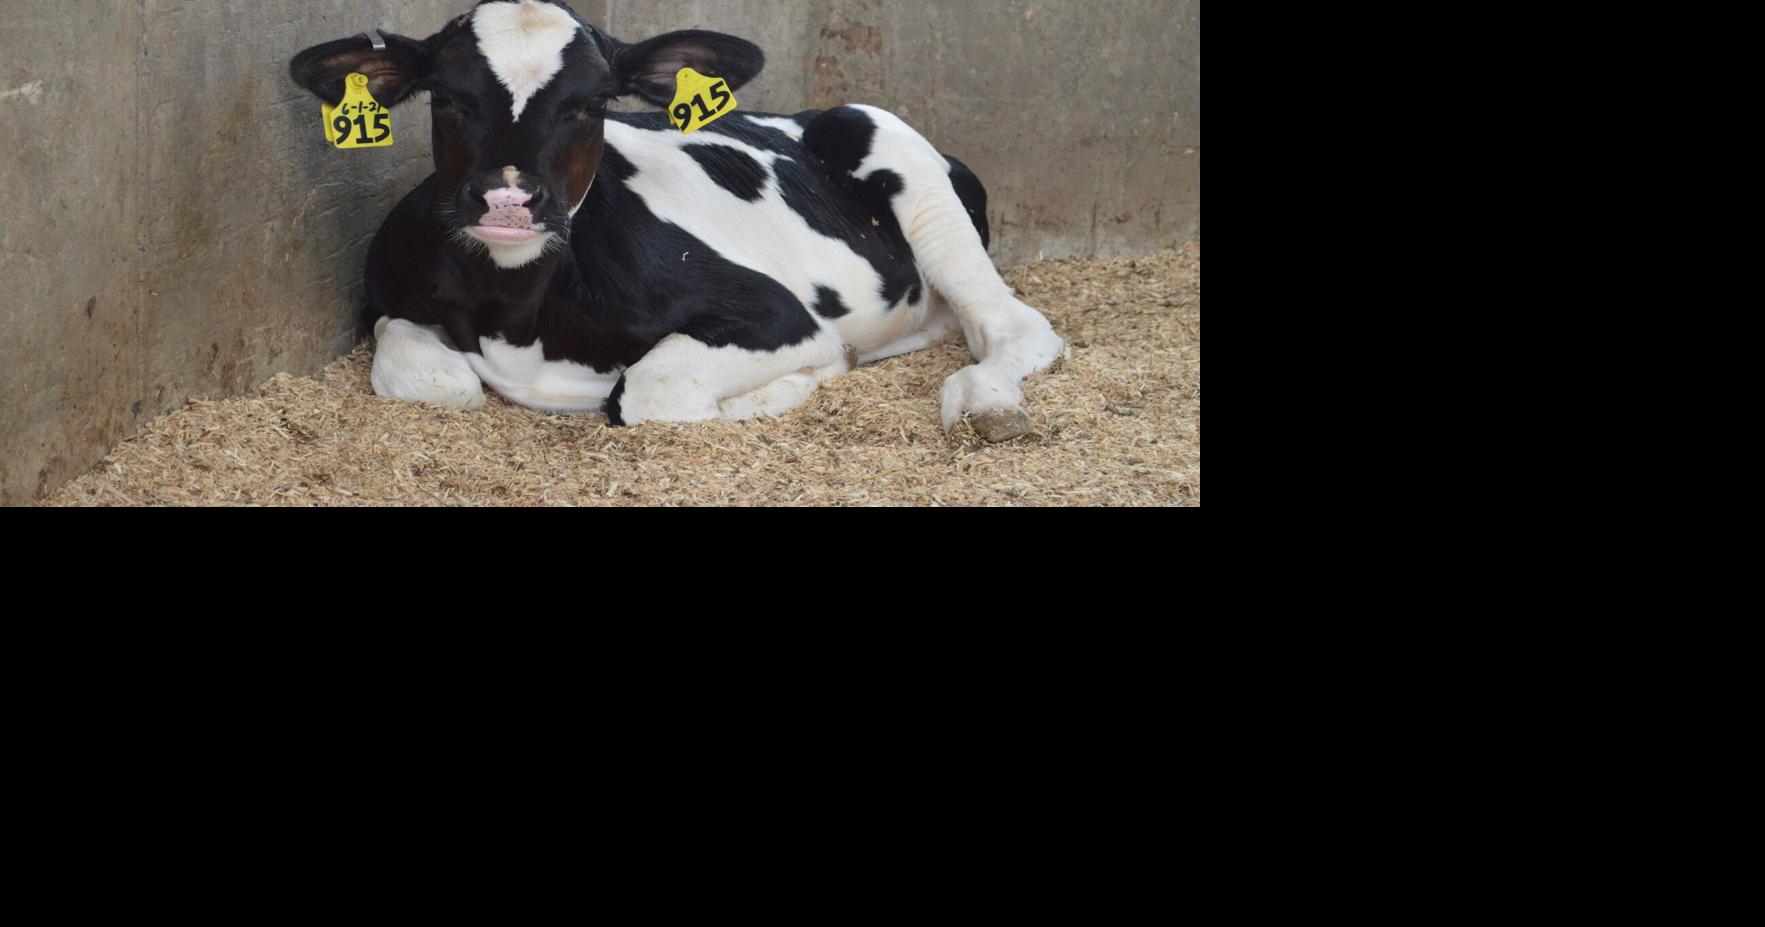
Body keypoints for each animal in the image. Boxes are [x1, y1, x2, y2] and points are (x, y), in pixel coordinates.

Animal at [288, 0, 1063, 440]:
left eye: (594, 101)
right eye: (446, 97)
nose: (507, 199)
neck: (518, 314)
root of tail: (804, 111)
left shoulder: (778, 317)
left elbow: (646, 392)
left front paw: (789, 388)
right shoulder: (388, 298)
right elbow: (435, 378)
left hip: (897, 156)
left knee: (1013, 325)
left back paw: (987, 403)